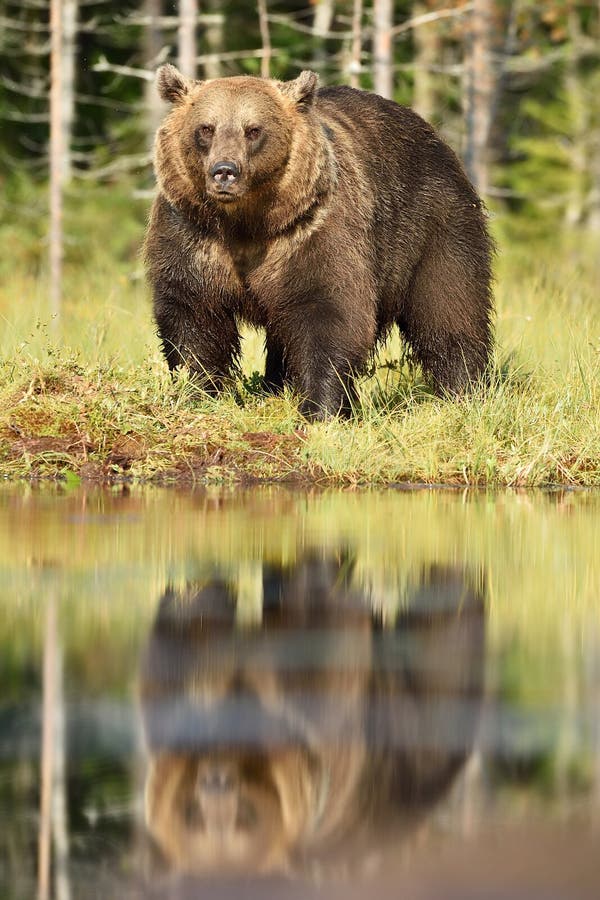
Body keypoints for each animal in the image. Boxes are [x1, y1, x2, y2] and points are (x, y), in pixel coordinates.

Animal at [144, 64, 494, 420]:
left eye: (253, 130)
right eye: (206, 128)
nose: (224, 171)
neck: (248, 223)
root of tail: (433, 134)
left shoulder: (311, 231)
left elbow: (326, 311)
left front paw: (321, 408)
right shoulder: (194, 233)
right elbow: (192, 312)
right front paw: (197, 391)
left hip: (433, 226)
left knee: (448, 308)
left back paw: (463, 390)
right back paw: (274, 387)